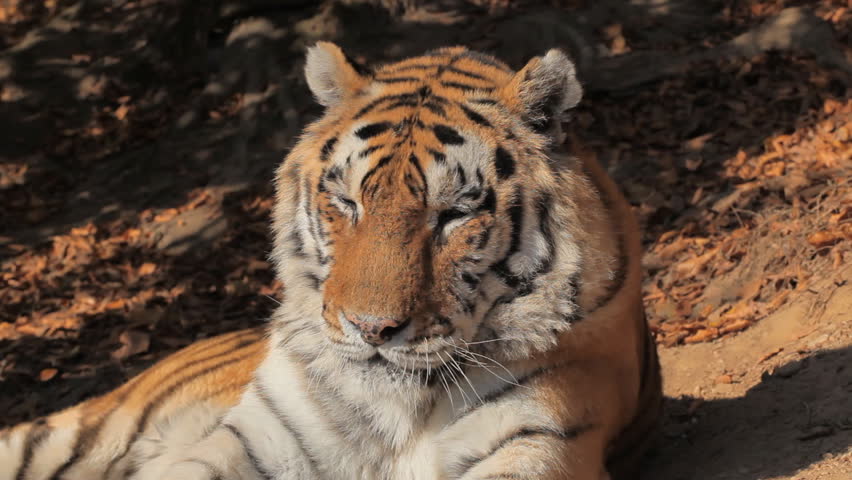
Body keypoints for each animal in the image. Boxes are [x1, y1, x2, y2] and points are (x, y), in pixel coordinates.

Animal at [0, 42, 661, 480]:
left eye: (452, 214)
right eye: (347, 202)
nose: (371, 329)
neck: (399, 413)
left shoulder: (537, 438)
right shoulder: (252, 442)